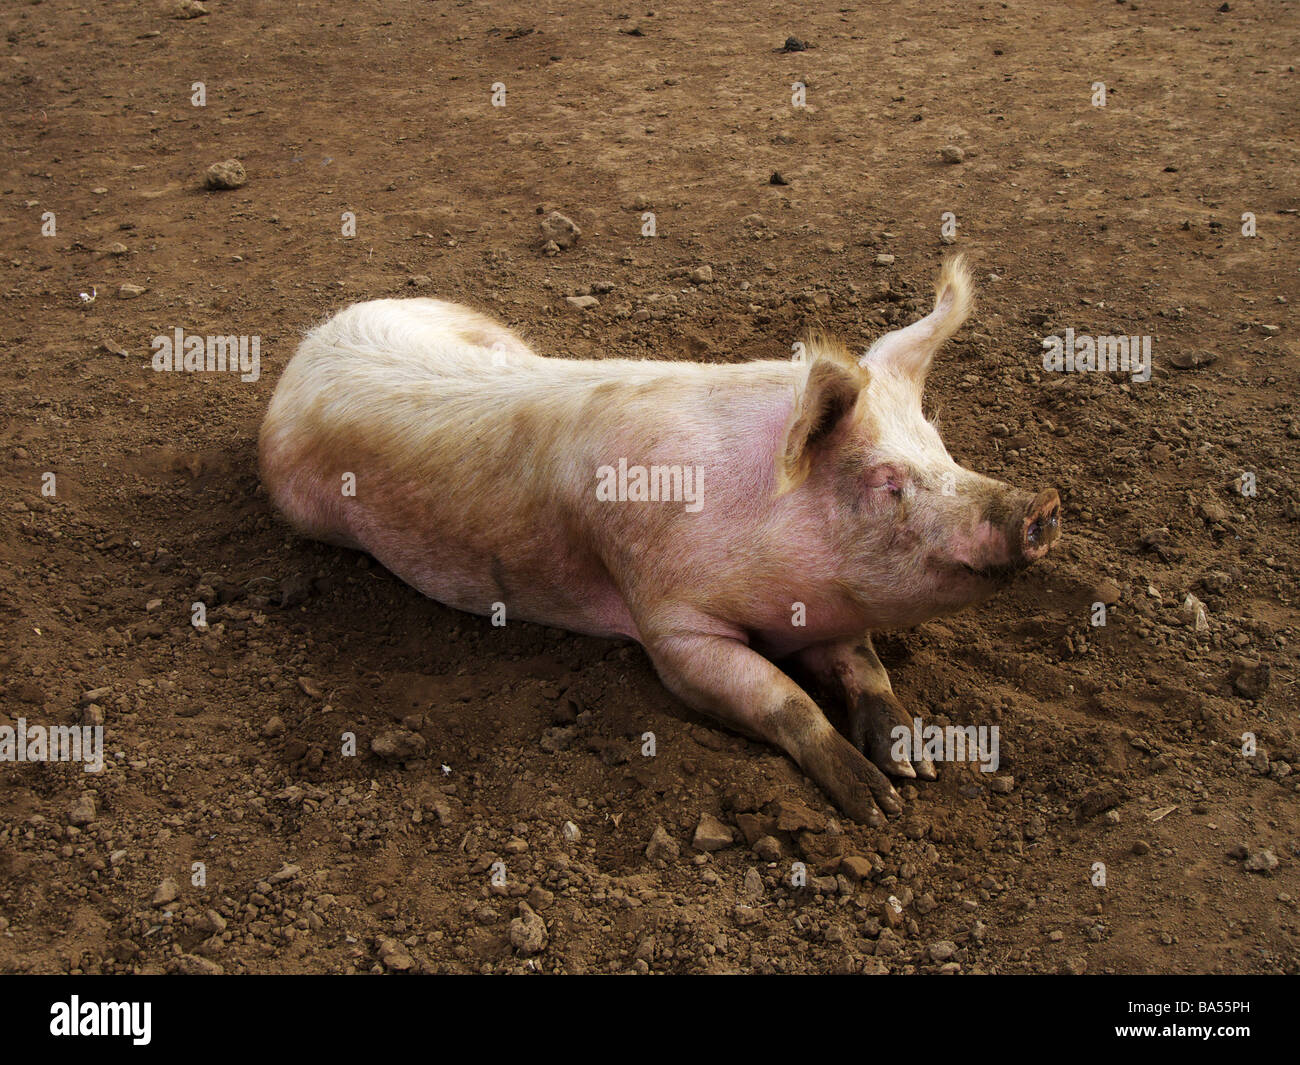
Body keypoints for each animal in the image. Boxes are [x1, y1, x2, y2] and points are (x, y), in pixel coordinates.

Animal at [259, 255, 1061, 824]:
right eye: (888, 481)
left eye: (942, 447)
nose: (1042, 504)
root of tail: (315, 338)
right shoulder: (670, 623)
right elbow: (779, 698)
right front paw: (877, 803)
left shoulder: (832, 609)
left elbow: (865, 666)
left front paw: (916, 764)